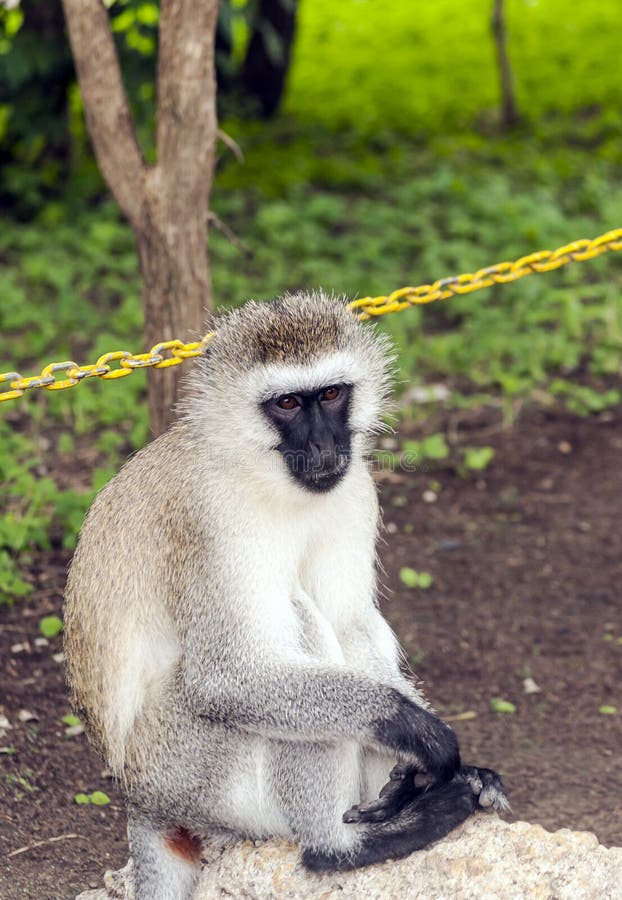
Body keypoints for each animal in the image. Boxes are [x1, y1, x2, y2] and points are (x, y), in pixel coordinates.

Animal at [64, 291, 508, 900]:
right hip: (189, 769)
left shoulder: (354, 489)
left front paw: (429, 766)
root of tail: (139, 797)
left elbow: (352, 620)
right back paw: (342, 846)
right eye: (289, 404)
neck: (263, 474)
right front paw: (414, 729)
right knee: (295, 636)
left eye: (331, 394)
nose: (323, 445)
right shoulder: (211, 518)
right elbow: (227, 677)